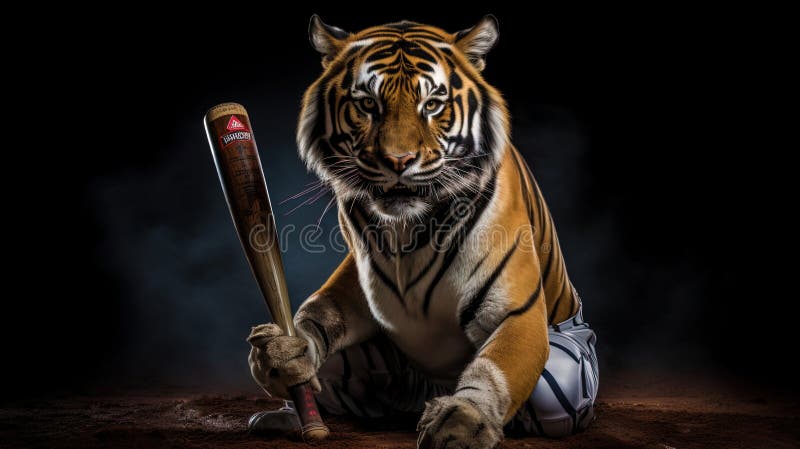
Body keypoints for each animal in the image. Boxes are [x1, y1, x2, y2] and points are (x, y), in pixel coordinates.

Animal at [247, 15, 598, 447]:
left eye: (432, 104)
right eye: (368, 104)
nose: (399, 161)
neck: (406, 229)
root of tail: (429, 389)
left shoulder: (515, 312)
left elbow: (494, 369)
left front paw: (465, 419)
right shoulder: (358, 277)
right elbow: (319, 314)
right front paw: (285, 353)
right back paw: (286, 416)